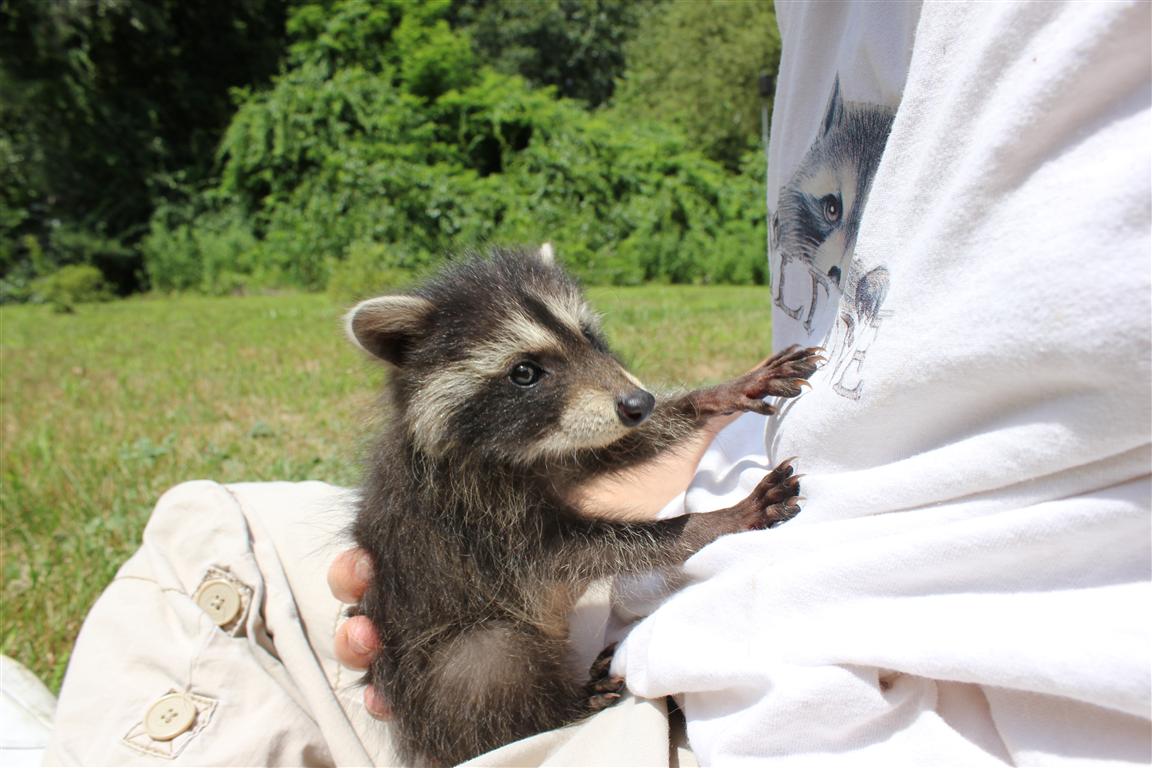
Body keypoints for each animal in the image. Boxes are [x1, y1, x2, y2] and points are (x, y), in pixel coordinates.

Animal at [345, 247, 821, 767]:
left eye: (587, 336)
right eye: (525, 372)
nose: (639, 401)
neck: (512, 452)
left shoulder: (556, 453)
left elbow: (620, 448)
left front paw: (718, 394)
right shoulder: (472, 514)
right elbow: (579, 552)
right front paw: (707, 522)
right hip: (437, 675)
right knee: (483, 659)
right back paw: (564, 705)